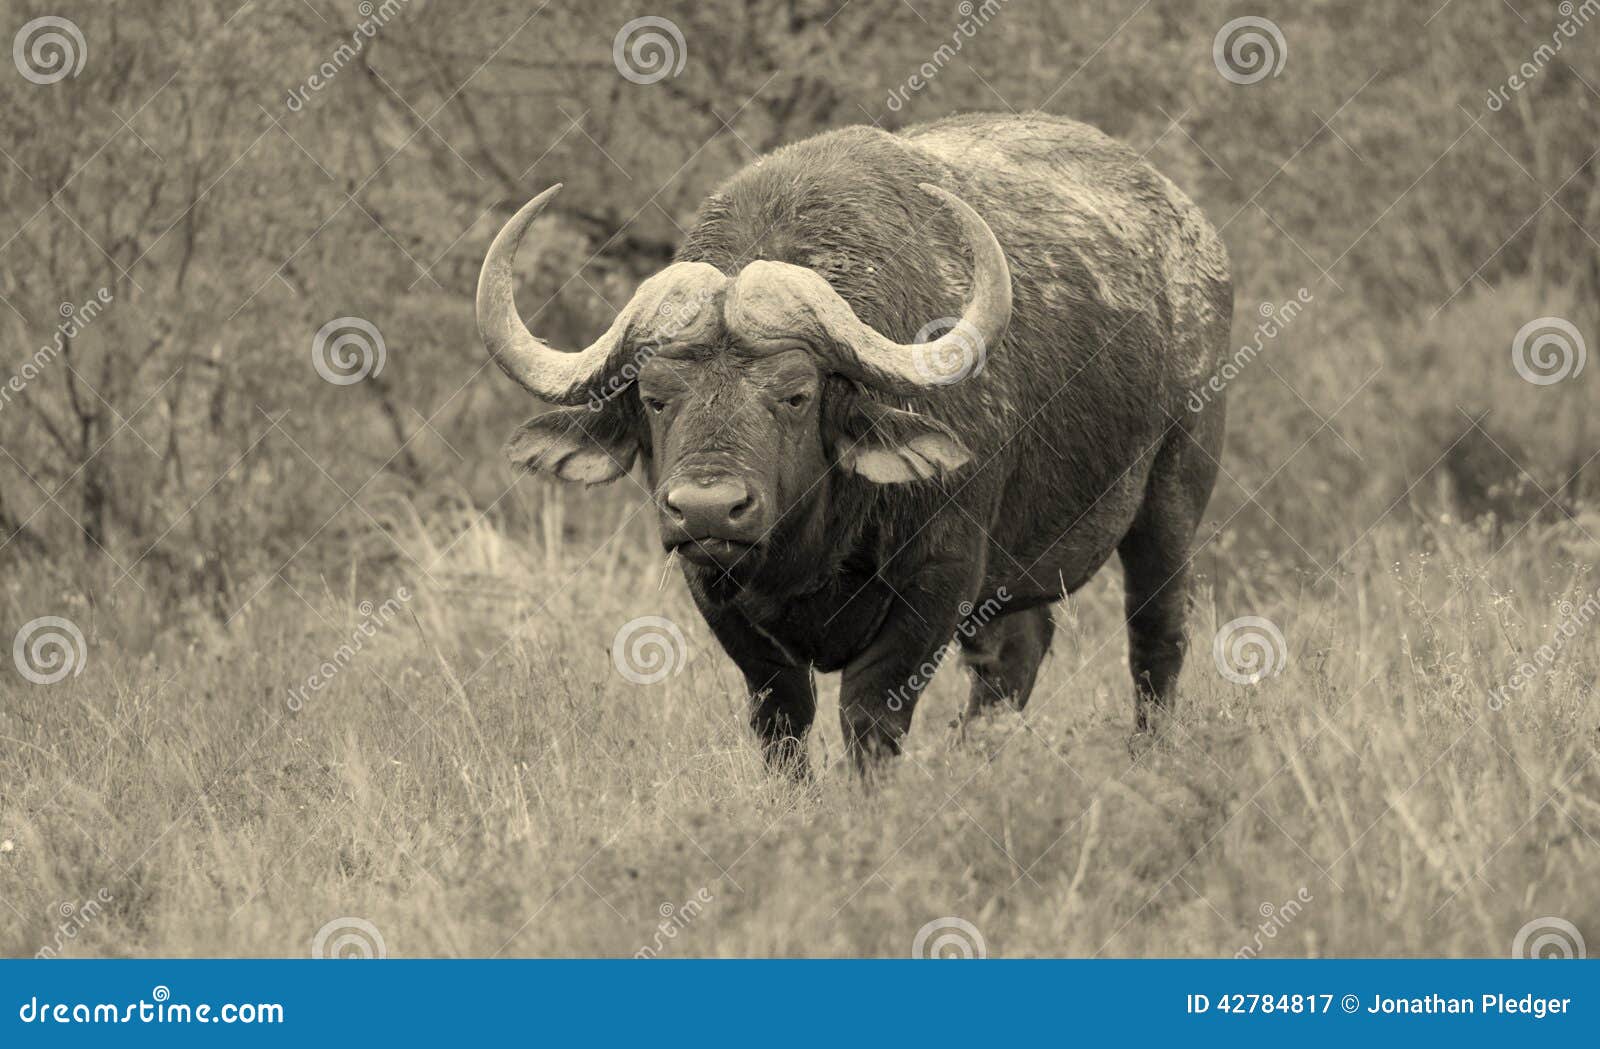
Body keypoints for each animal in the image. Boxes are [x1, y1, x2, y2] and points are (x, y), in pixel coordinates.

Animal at [477, 113, 1232, 775]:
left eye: (795, 394)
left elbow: (869, 716)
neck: (811, 545)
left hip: (1173, 494)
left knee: (1156, 640)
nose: (708, 508)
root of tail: (1196, 238)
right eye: (656, 397)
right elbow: (782, 716)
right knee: (1014, 657)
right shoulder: (714, 593)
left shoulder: (937, 581)